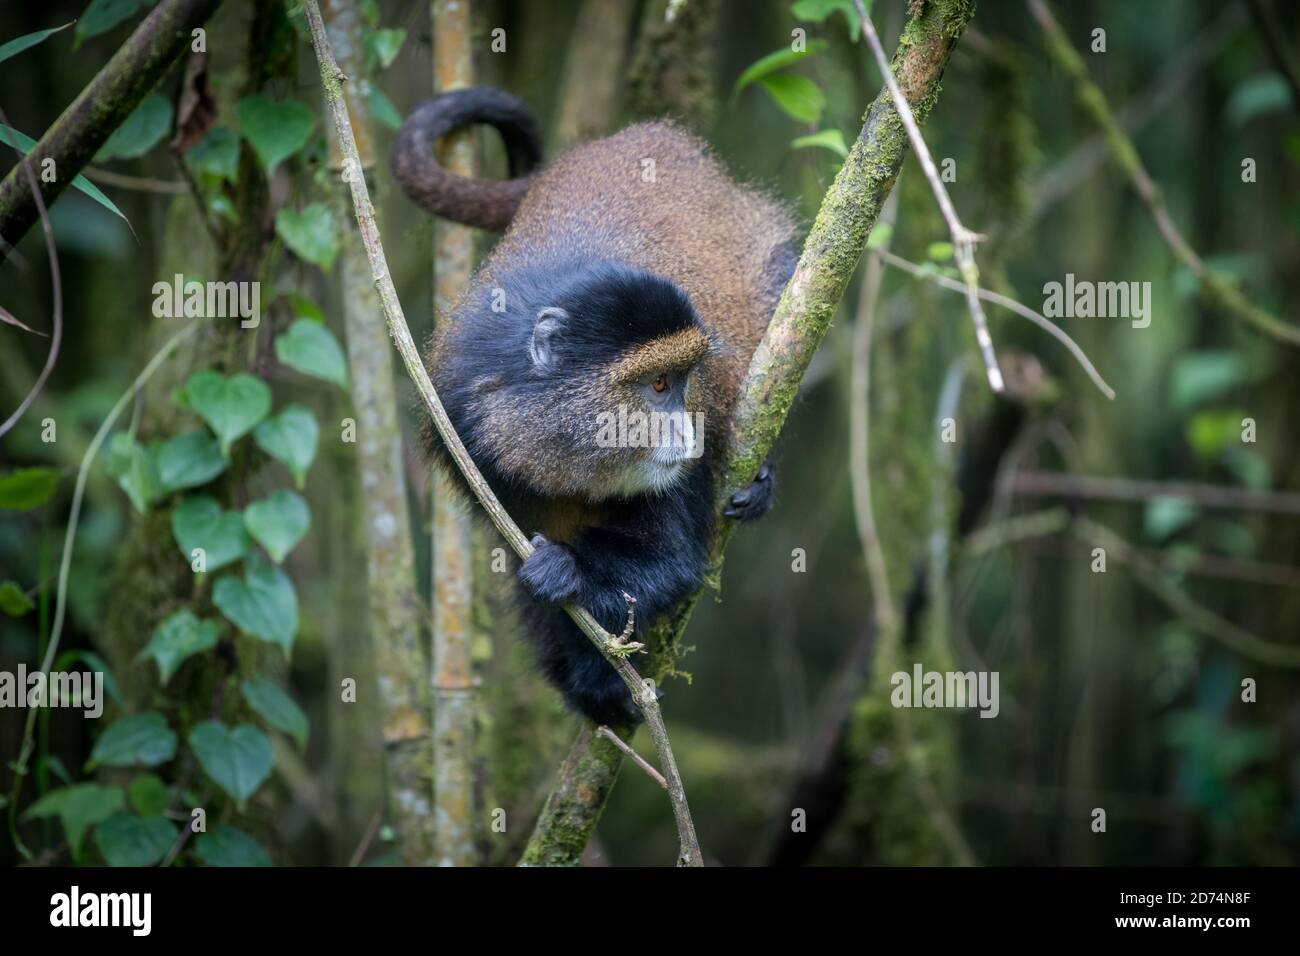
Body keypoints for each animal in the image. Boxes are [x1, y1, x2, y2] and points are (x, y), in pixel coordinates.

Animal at [391, 87, 799, 725]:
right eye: (657, 386)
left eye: (685, 381)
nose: (687, 436)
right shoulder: (462, 425)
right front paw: (593, 681)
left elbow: (673, 558)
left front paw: (567, 569)